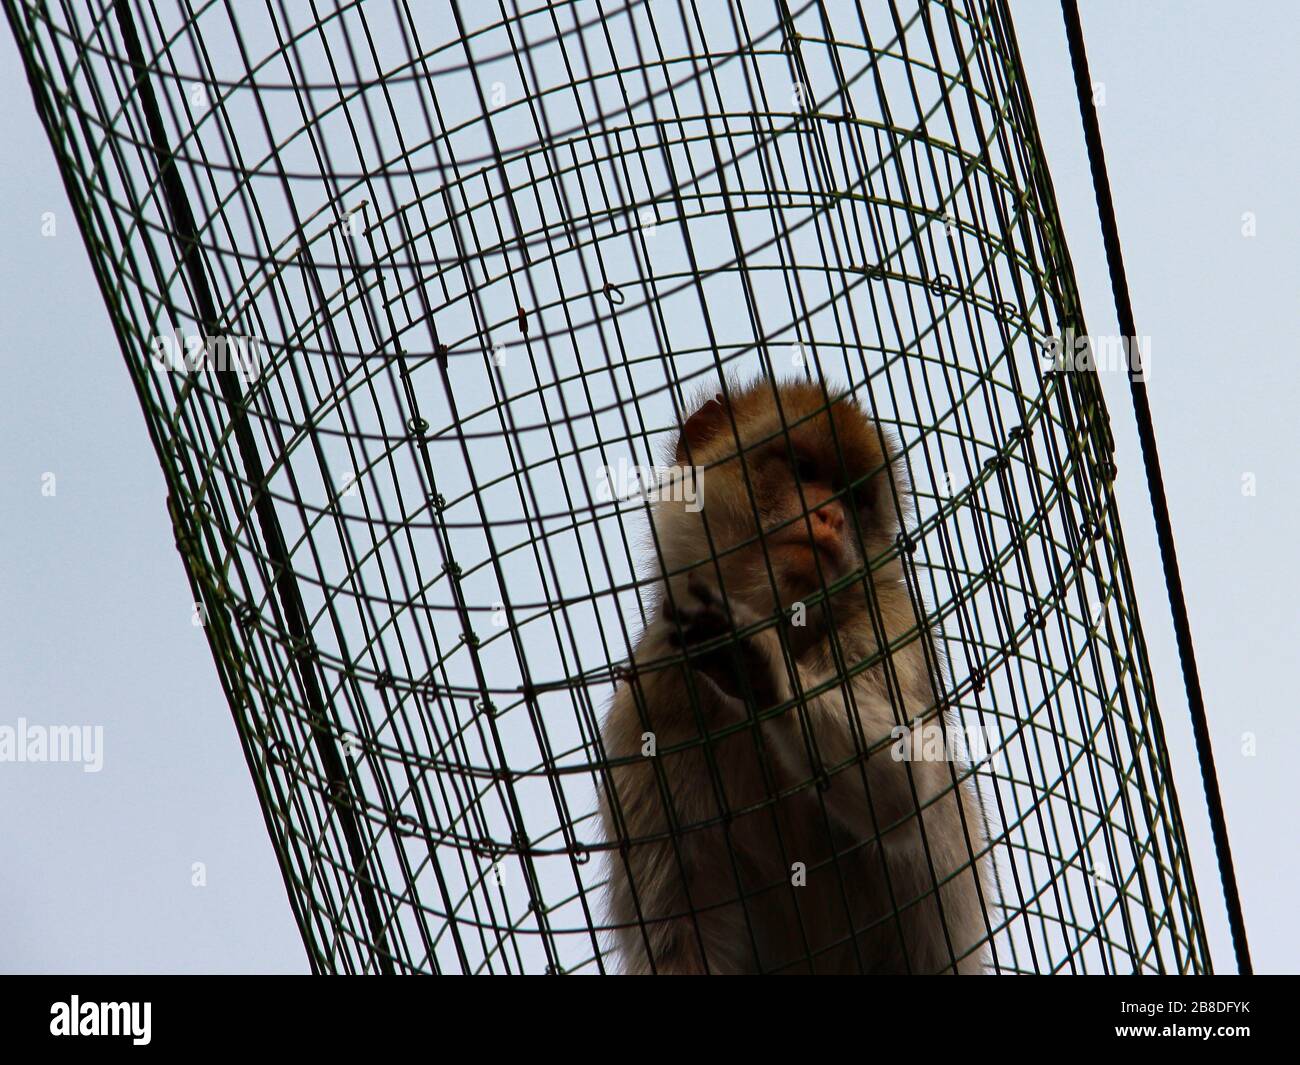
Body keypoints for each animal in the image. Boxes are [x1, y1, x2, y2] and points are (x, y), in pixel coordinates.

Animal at [597, 376, 992, 975]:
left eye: (853, 498)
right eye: (804, 471)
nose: (831, 517)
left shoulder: (883, 624)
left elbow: (904, 784)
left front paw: (760, 667)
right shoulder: (651, 700)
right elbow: (679, 936)